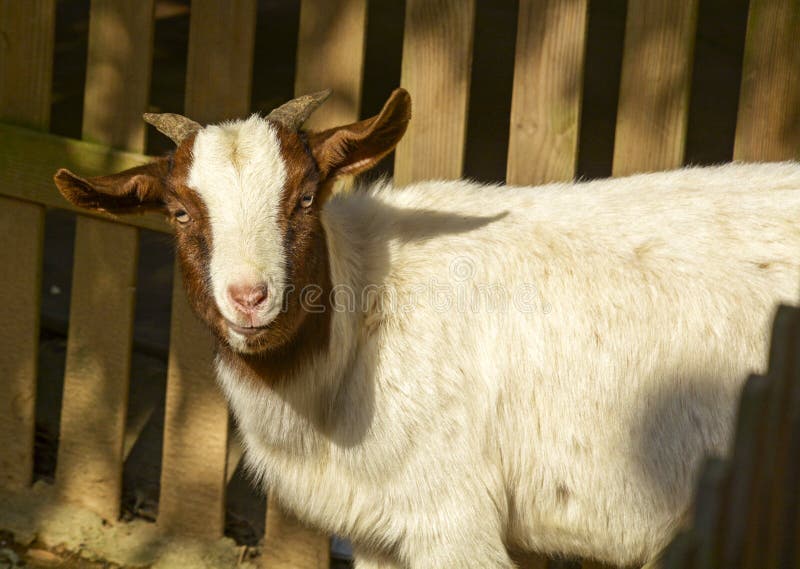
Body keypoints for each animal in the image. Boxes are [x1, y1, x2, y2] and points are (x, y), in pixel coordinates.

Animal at [54, 88, 800, 568]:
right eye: (179, 212)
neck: (364, 322)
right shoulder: (379, 526)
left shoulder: (455, 517)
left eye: (304, 198)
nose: (250, 297)